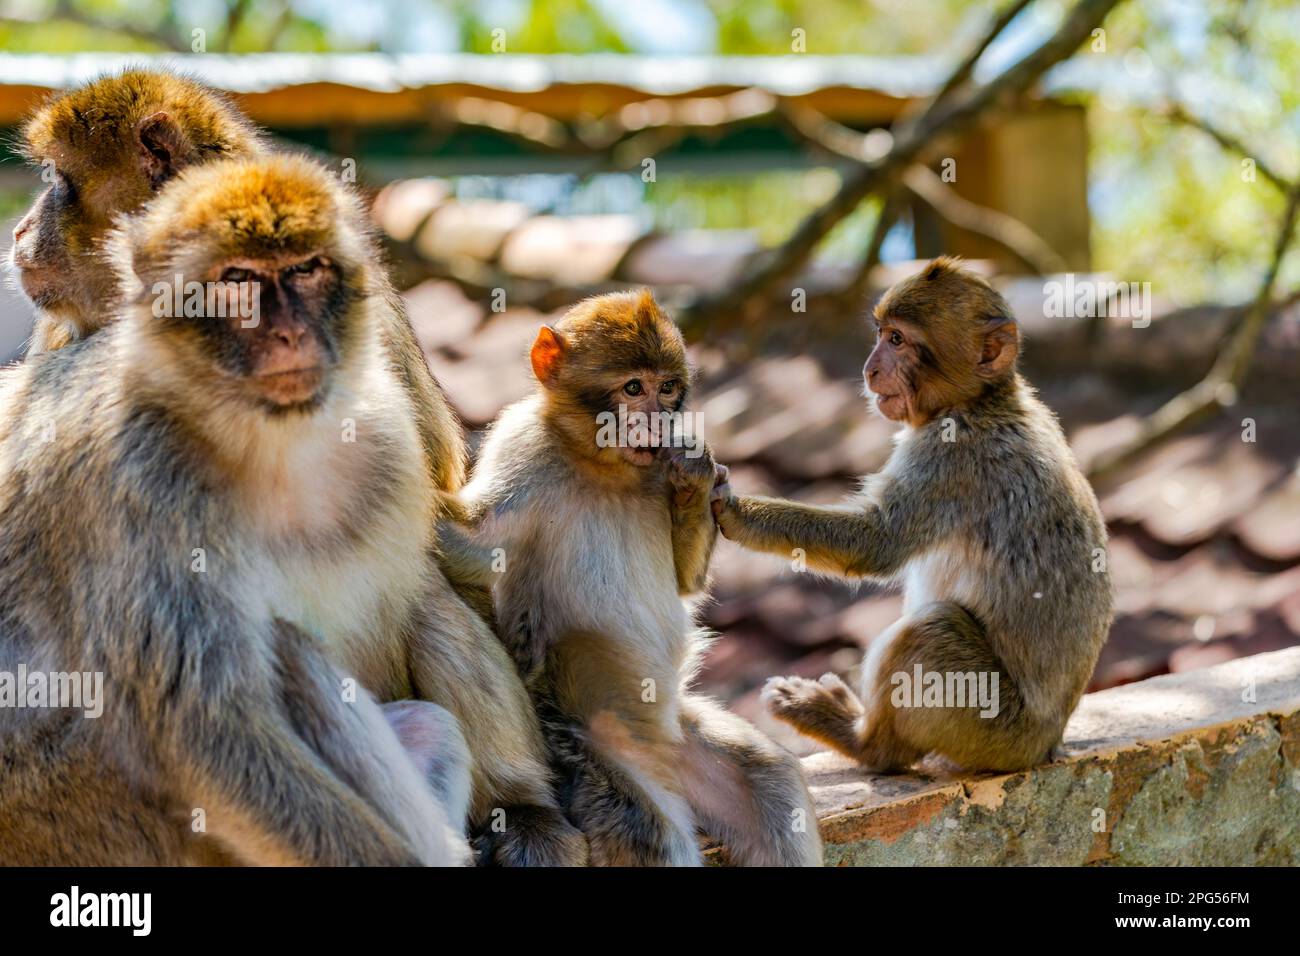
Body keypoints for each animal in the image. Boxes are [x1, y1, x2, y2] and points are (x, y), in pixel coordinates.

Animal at [0, 153, 584, 865]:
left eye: (306, 271)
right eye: (237, 282)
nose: (290, 334)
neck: (258, 441)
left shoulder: (381, 437)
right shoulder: (139, 483)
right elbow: (206, 731)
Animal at [448, 289, 823, 866]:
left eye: (667, 388)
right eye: (632, 389)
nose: (658, 420)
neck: (604, 464)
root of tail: (657, 755)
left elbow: (685, 582)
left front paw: (695, 477)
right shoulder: (523, 445)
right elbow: (471, 543)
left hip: (689, 743)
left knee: (772, 781)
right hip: (591, 759)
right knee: (653, 836)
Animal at [710, 257, 1113, 774]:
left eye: (898, 340)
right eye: (881, 334)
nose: (870, 368)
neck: (982, 400)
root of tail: (1046, 743)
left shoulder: (948, 454)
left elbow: (877, 542)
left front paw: (735, 509)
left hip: (993, 725)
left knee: (931, 632)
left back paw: (865, 742)